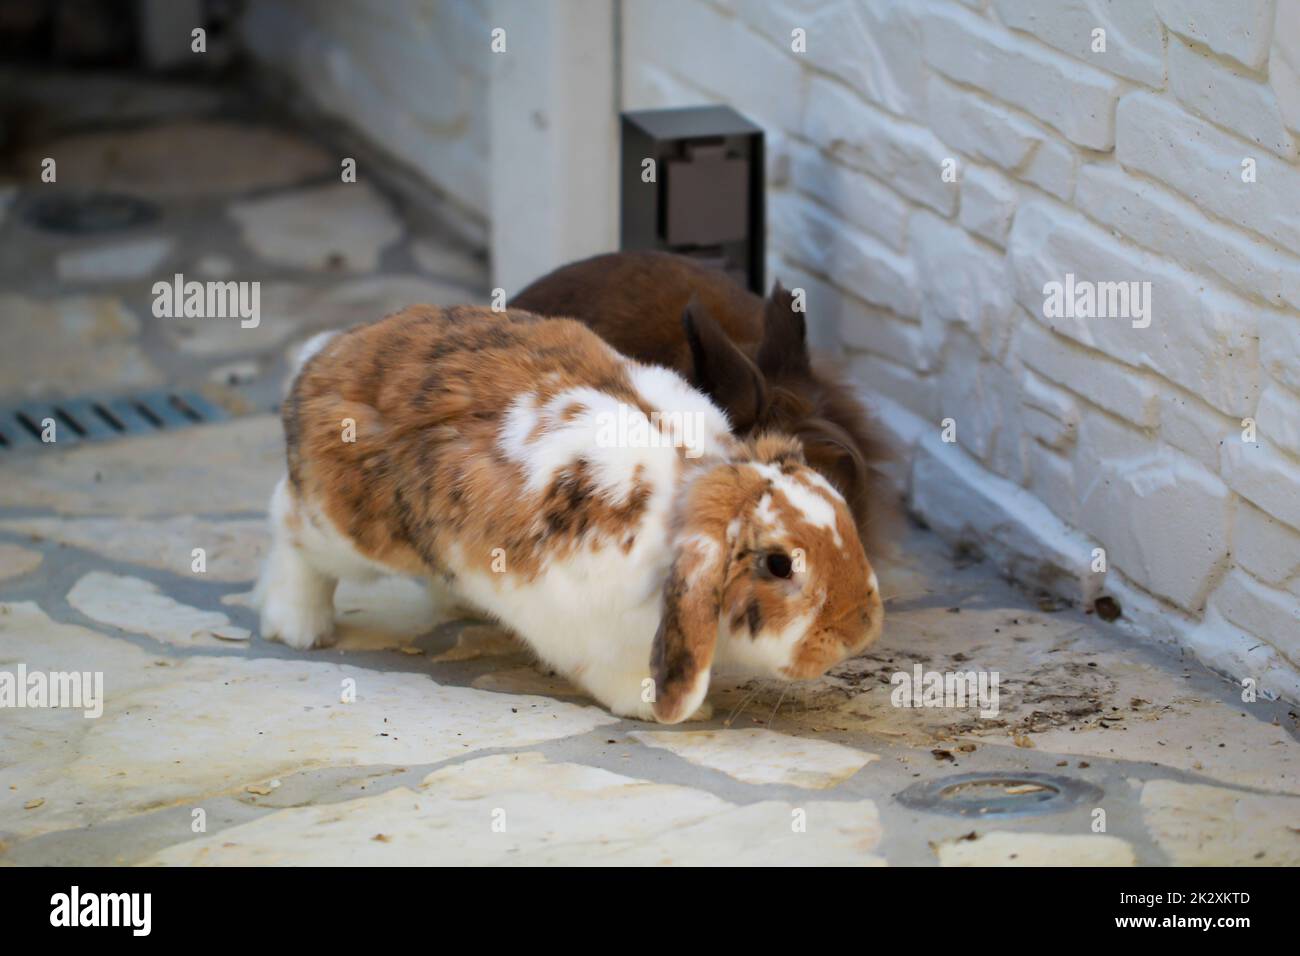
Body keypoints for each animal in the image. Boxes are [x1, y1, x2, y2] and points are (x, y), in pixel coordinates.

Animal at [257, 305, 884, 723]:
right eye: (779, 565)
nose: (860, 627)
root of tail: (319, 360)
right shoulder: (597, 636)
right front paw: (679, 712)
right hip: (343, 526)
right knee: (289, 530)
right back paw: (299, 627)